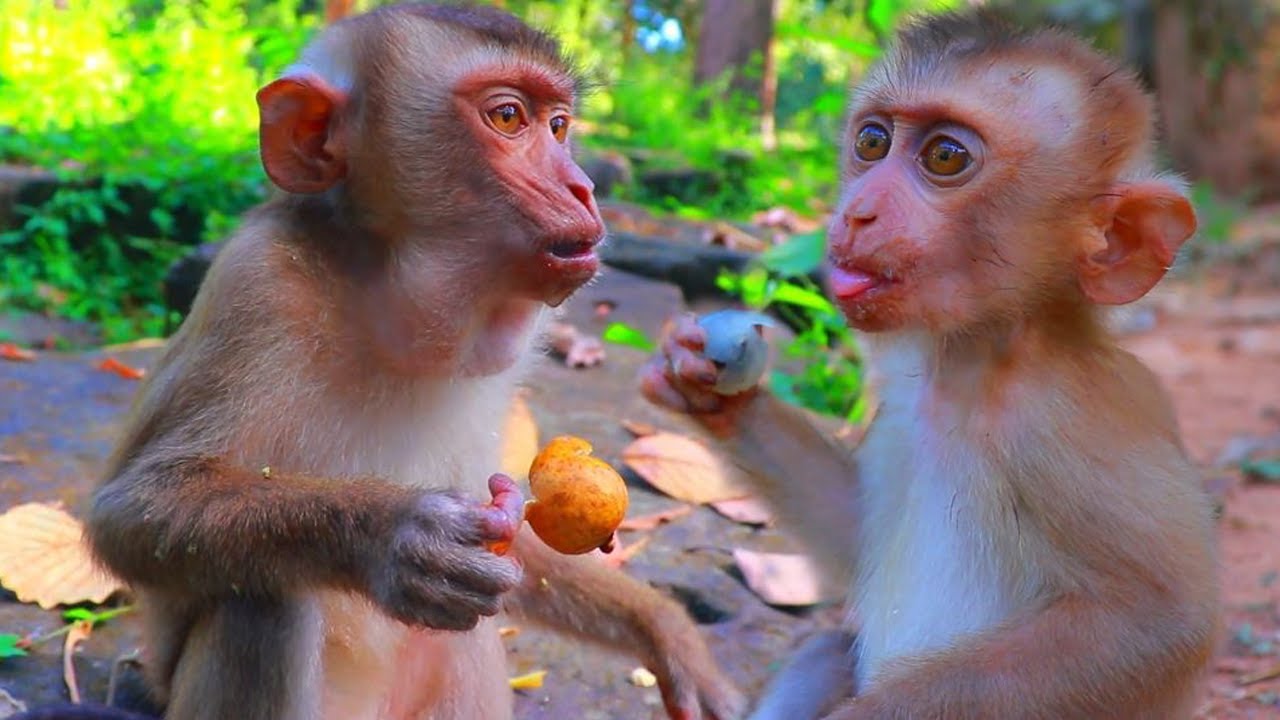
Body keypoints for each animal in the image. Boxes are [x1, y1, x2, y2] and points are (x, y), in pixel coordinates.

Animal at [44, 5, 746, 720]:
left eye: (559, 126)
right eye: (508, 117)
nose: (584, 186)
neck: (389, 310)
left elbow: (503, 526)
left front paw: (664, 631)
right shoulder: (254, 287)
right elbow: (131, 511)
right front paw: (399, 539)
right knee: (264, 599)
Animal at [641, 10, 1219, 720]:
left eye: (946, 157)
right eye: (871, 141)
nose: (856, 212)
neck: (971, 367)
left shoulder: (1071, 416)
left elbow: (1159, 621)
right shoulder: (901, 401)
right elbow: (855, 533)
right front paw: (707, 387)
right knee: (828, 651)